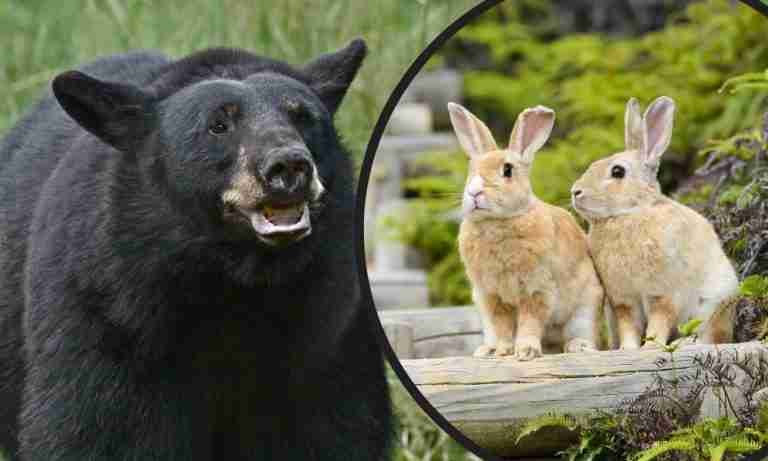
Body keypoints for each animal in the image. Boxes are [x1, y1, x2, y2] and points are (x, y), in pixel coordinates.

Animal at [0, 39, 391, 460]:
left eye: (302, 116)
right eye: (218, 125)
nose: (289, 166)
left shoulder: (326, 333)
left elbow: (330, 430)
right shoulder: (107, 318)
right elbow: (96, 431)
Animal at [448, 102, 605, 360]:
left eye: (507, 170)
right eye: (472, 170)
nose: (474, 192)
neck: (498, 222)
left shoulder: (537, 290)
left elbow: (530, 322)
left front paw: (526, 352)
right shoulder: (491, 296)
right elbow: (502, 326)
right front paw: (503, 351)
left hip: (585, 307)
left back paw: (577, 346)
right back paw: (486, 350)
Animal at [571, 96, 738, 350]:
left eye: (617, 171)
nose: (575, 191)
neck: (627, 214)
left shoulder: (662, 294)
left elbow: (659, 322)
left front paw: (650, 347)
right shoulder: (623, 300)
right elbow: (629, 326)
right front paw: (627, 349)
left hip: (714, 302)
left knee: (710, 336)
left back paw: (688, 342)